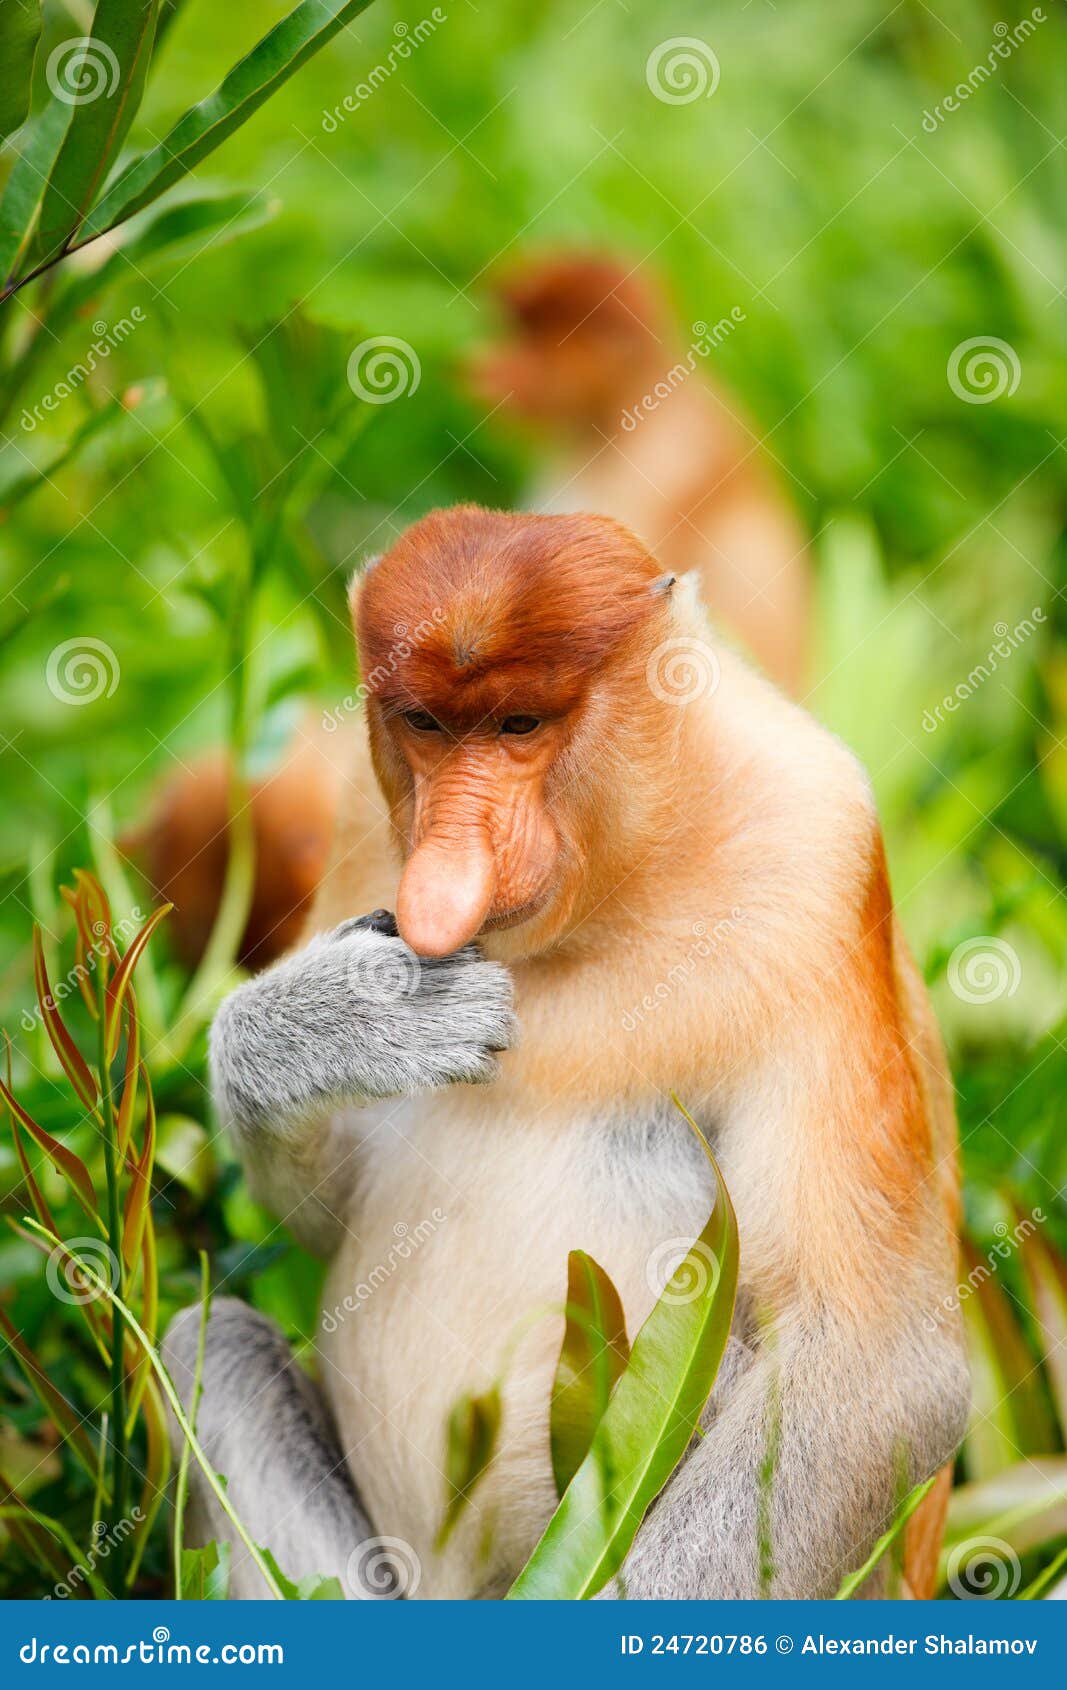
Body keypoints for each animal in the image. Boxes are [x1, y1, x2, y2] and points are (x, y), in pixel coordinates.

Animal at [164, 504, 968, 1601]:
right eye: (424, 725)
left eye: (519, 726)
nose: (446, 873)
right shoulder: (366, 830)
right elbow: (324, 1219)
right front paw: (342, 1020)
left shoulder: (818, 854)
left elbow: (878, 1367)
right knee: (212, 1343)